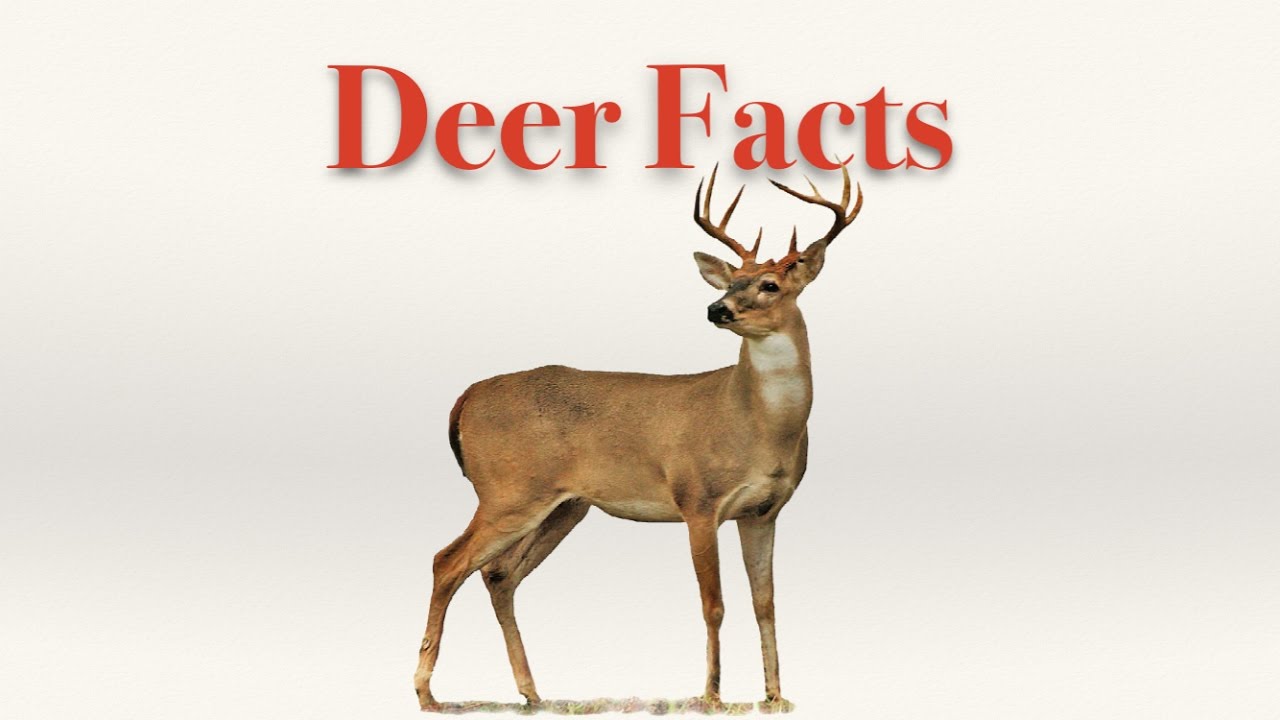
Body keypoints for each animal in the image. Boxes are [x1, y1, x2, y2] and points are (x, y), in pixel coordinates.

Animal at [413, 164, 863, 712]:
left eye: (770, 284)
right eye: (732, 281)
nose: (717, 309)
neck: (756, 425)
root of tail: (465, 399)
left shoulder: (763, 510)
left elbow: (766, 602)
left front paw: (775, 694)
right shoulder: (697, 499)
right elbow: (714, 603)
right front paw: (712, 694)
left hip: (564, 506)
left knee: (498, 574)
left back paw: (531, 692)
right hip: (508, 490)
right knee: (446, 561)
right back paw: (426, 692)